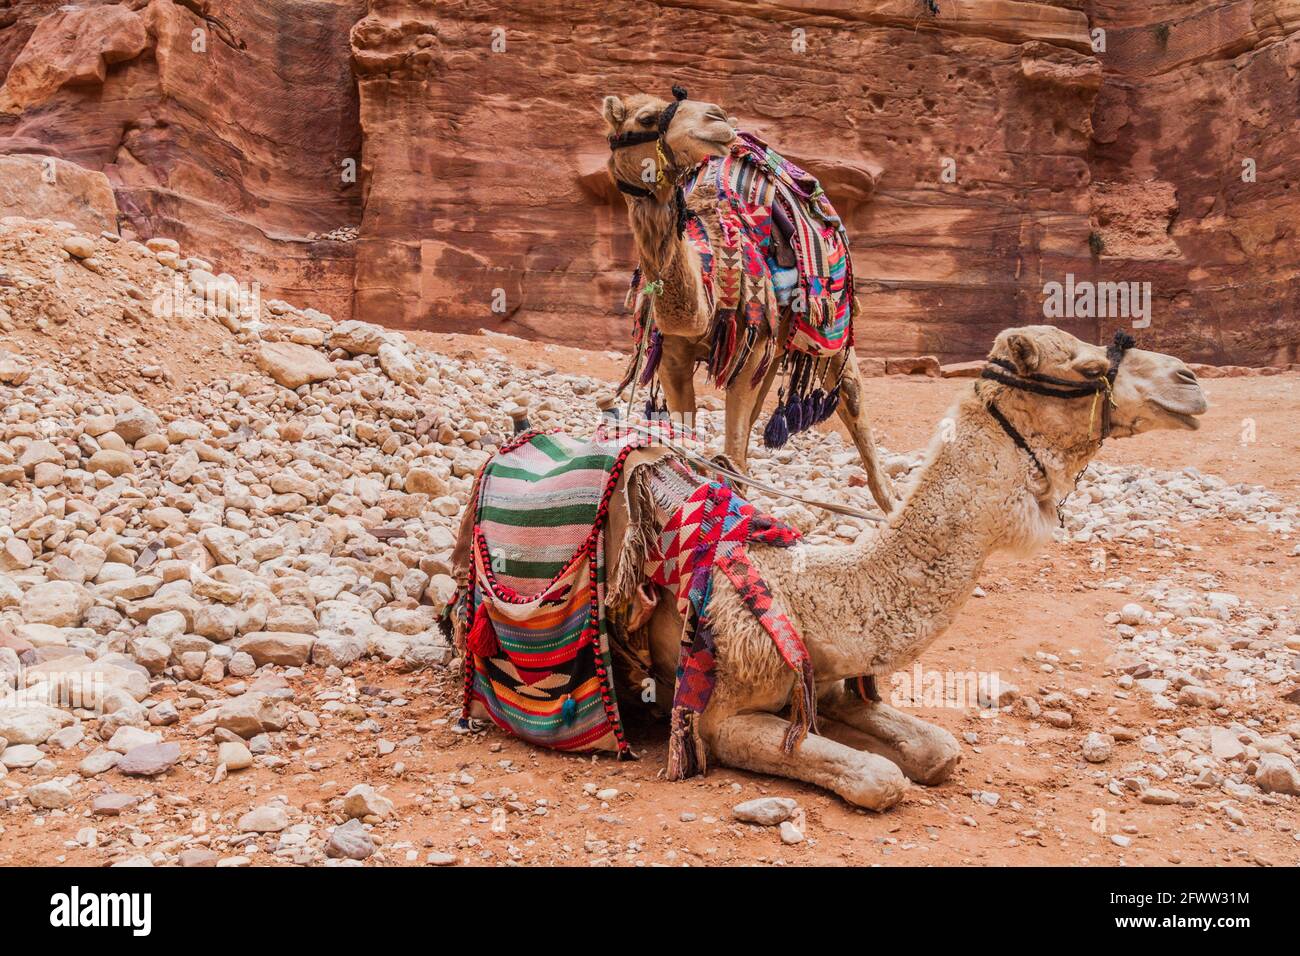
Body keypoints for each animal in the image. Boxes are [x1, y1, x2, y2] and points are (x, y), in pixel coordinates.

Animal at [601, 90, 898, 514]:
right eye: (644, 118)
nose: (717, 117)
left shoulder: (750, 342)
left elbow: (733, 456)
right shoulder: (673, 353)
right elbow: (693, 449)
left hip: (831, 330)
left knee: (852, 396)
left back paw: (890, 504)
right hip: (776, 344)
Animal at [603, 325, 1208, 809]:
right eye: (1091, 368)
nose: (1190, 380)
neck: (808, 596)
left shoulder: (828, 683)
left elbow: (938, 750)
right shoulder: (716, 718)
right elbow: (880, 778)